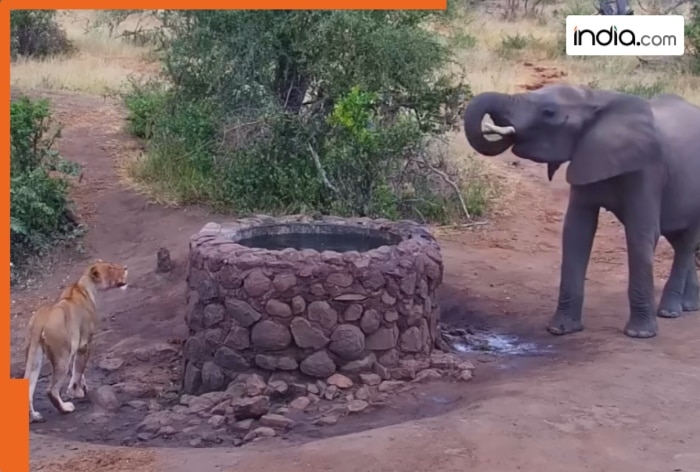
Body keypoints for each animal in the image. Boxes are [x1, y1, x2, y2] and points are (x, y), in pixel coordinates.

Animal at [22, 260, 128, 423]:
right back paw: (65, 408)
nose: (125, 268)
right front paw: (76, 391)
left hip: (34, 356)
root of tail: (41, 320)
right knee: (51, 390)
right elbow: (78, 369)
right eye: (110, 267)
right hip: (61, 356)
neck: (83, 286)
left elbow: (77, 369)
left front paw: (79, 389)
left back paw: (34, 416)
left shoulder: (75, 345)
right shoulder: (85, 344)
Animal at [462, 84, 700, 338]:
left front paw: (640, 334)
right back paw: (688, 307)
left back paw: (669, 312)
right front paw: (561, 329)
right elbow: (577, 230)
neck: (597, 99)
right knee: (677, 239)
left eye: (548, 112)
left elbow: (640, 234)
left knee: (685, 244)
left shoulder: (648, 171)